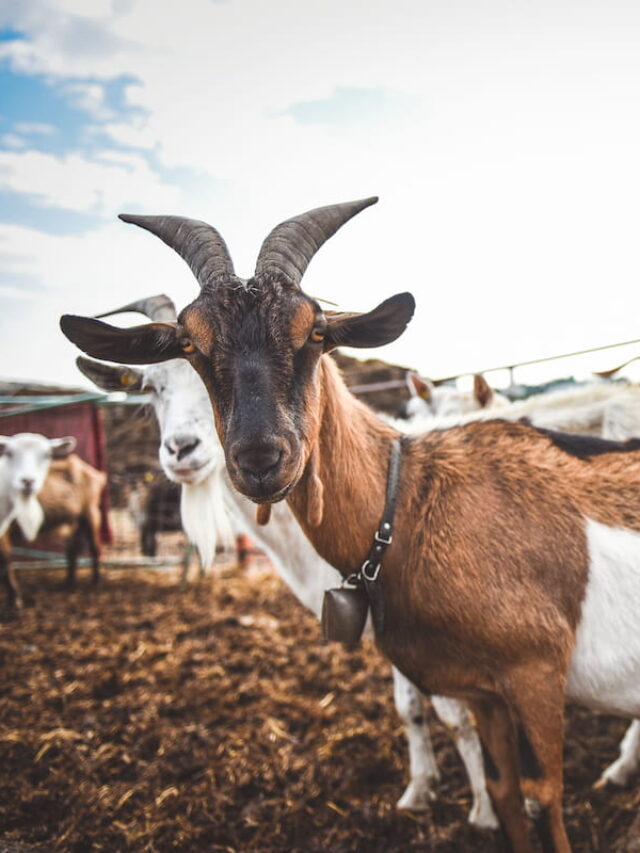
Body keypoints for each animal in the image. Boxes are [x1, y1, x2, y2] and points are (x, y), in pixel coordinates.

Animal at [0, 433, 106, 608]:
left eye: (46, 455)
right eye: (9, 453)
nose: (27, 481)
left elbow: (5, 563)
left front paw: (15, 601)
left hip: (90, 512)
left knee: (94, 547)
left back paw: (96, 582)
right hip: (74, 520)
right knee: (73, 549)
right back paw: (69, 583)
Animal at [75, 296, 497, 828]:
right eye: (152, 388)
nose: (181, 450)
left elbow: (455, 715)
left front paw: (484, 810)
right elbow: (410, 708)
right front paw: (419, 791)